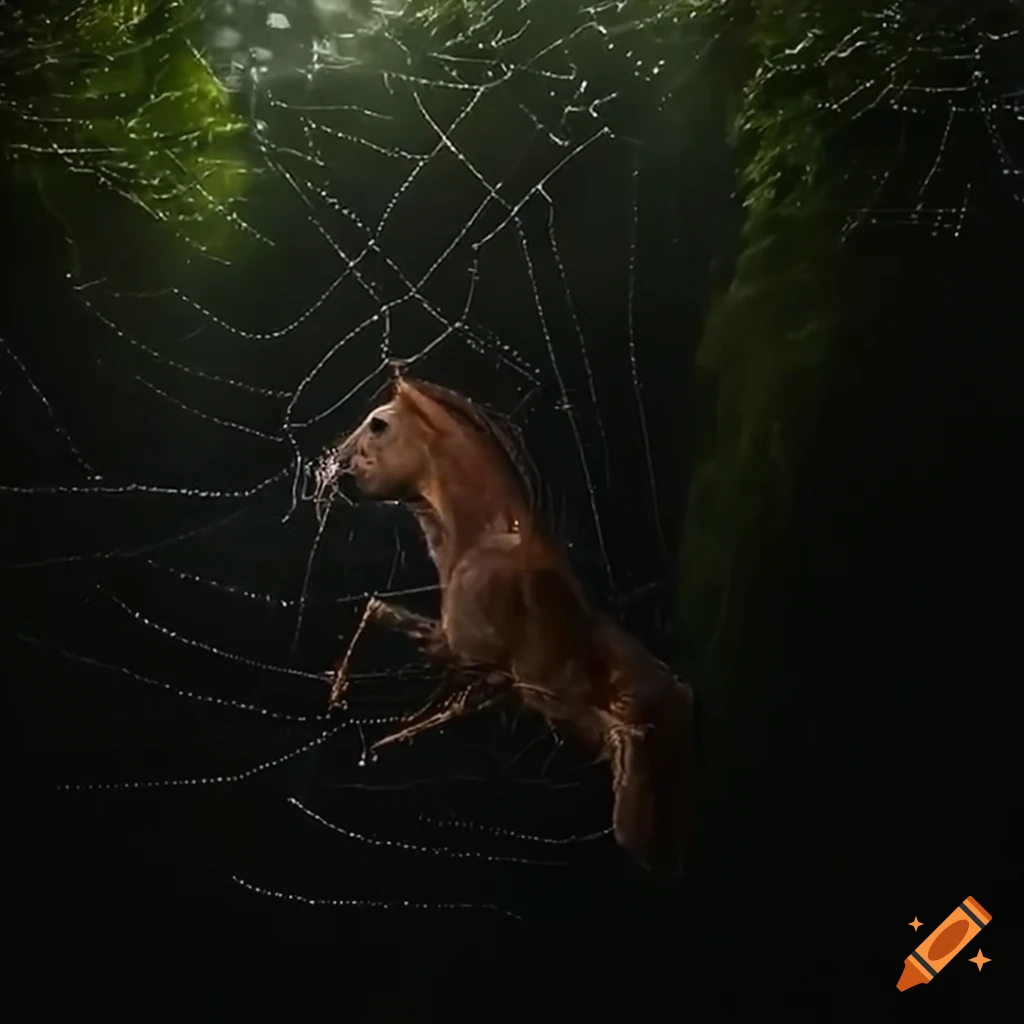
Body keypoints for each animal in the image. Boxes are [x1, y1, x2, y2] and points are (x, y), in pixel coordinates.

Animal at [312, 364, 696, 877]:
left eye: (377, 425)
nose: (337, 466)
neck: (480, 537)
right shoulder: (481, 667)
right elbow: (383, 617)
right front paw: (356, 712)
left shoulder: (474, 657)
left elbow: (389, 625)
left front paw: (364, 722)